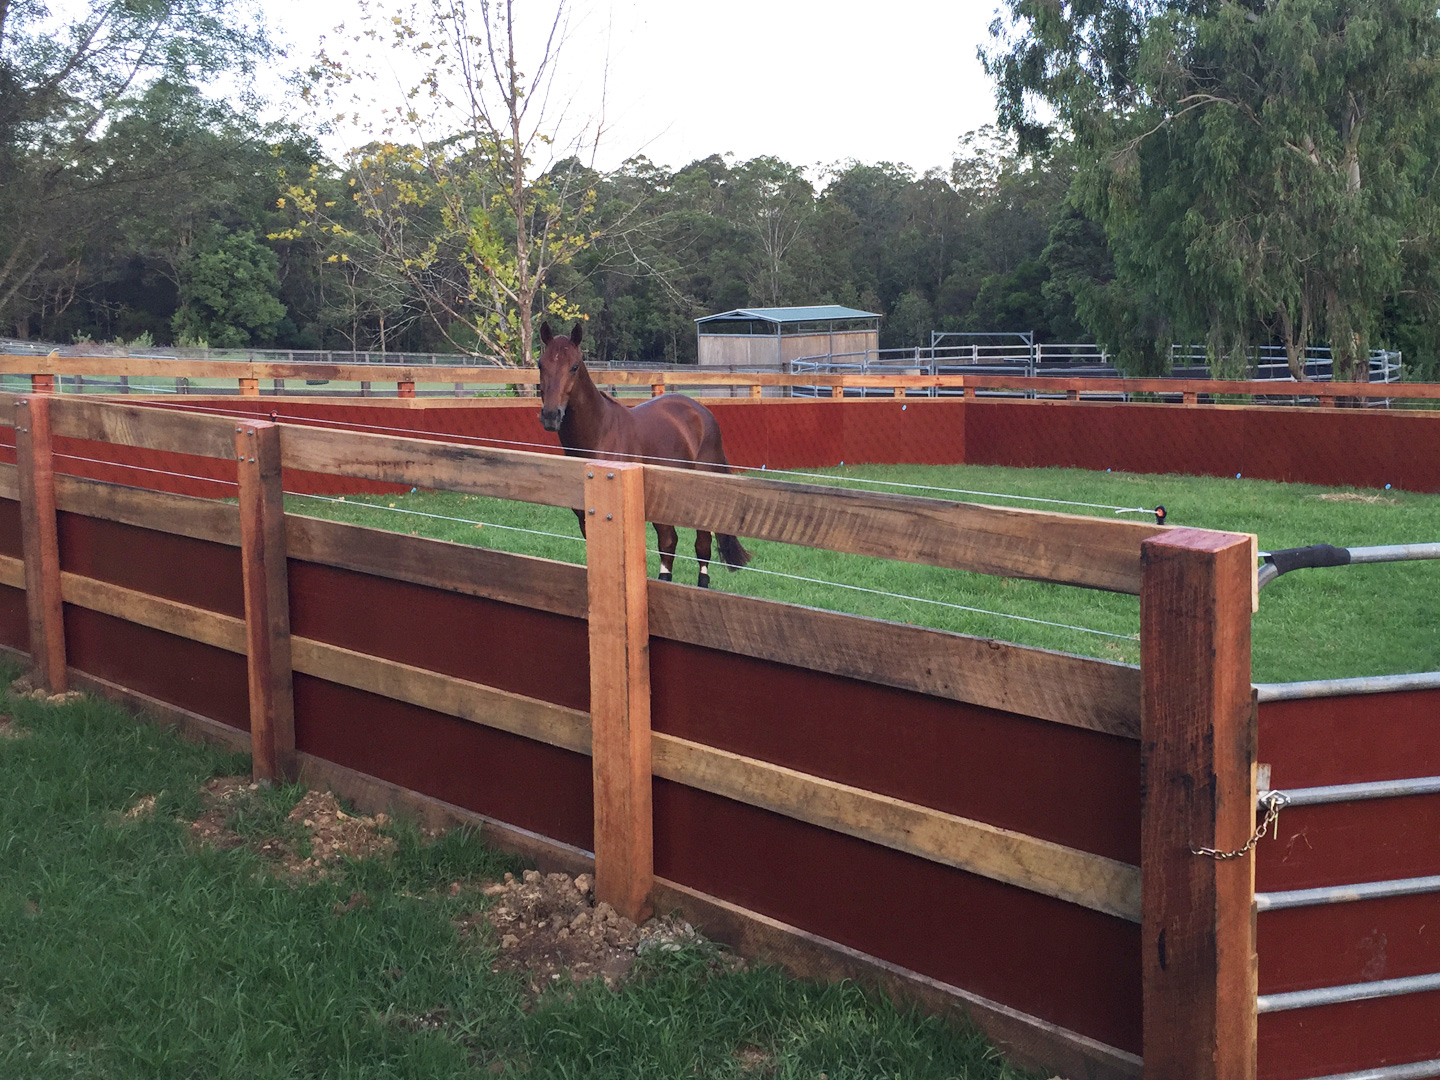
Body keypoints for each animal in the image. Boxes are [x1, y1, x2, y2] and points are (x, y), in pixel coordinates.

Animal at [535, 320, 751, 586]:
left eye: (574, 366)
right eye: (541, 364)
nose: (550, 415)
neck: (600, 434)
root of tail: (702, 412)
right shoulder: (585, 519)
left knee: (701, 545)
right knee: (669, 542)